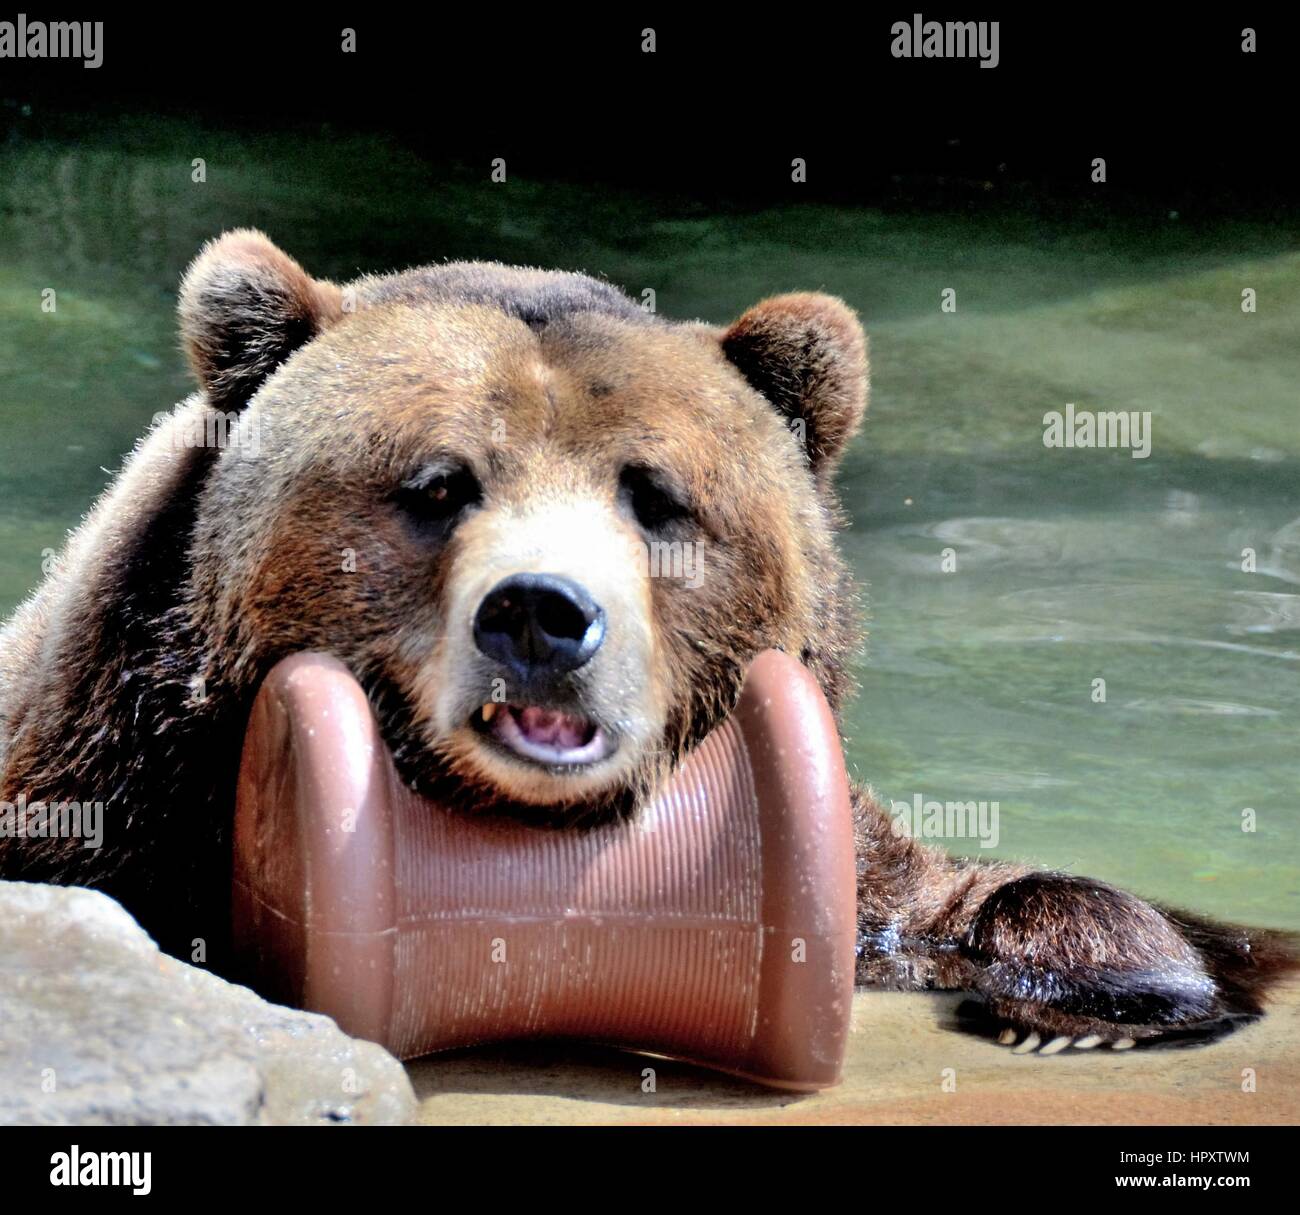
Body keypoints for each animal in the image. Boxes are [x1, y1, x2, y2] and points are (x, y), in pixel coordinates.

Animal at [0, 229, 1293, 1055]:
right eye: (437, 483)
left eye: (654, 495)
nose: (540, 613)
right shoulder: (97, 795)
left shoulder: (870, 892)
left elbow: (1032, 911)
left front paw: (1088, 1008)